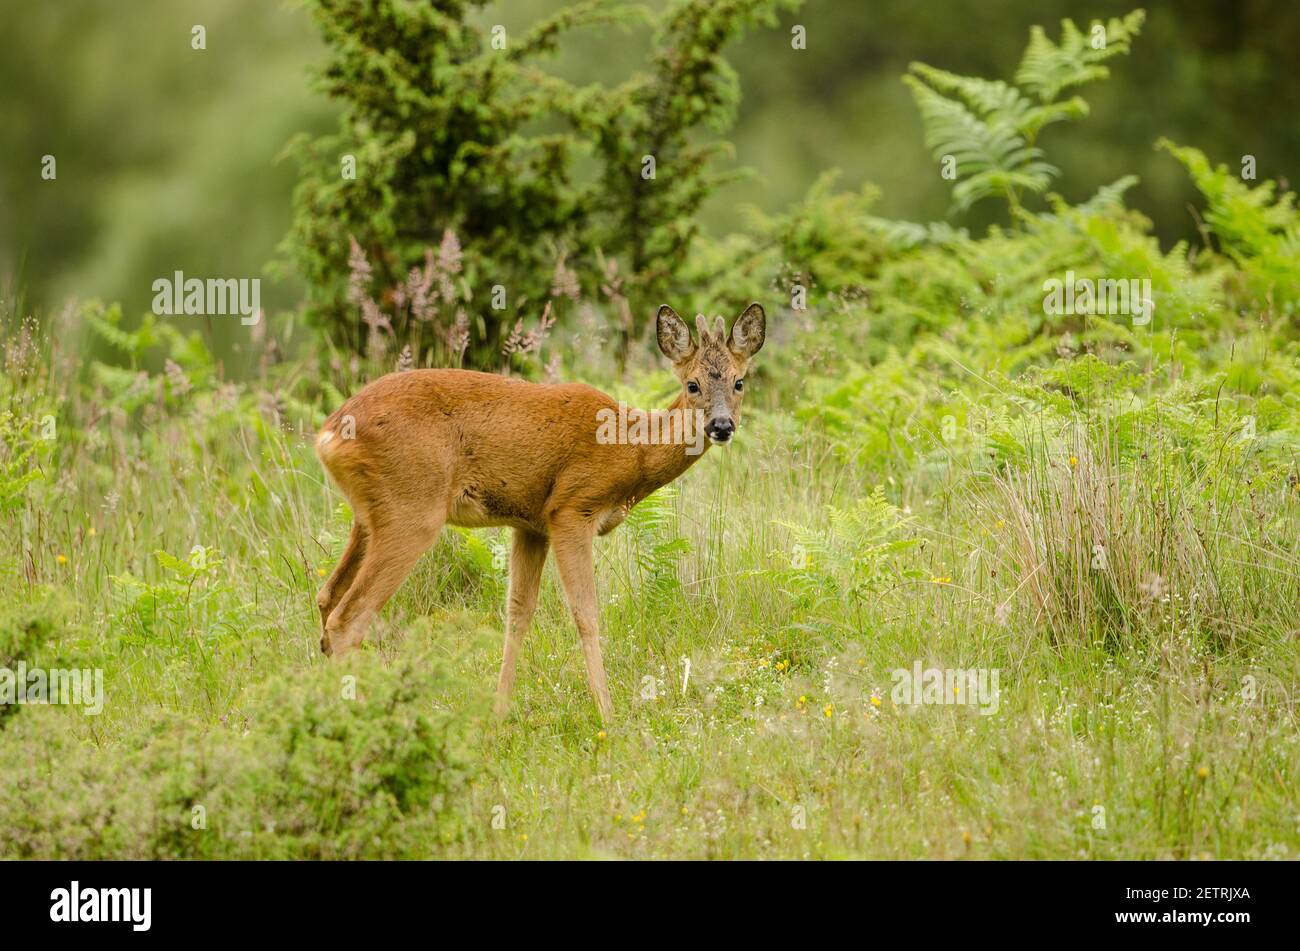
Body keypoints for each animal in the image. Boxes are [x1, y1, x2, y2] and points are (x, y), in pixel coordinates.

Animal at [313, 302, 766, 722]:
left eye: (739, 381)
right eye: (692, 385)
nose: (721, 426)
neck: (630, 449)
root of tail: (329, 433)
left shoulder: (530, 524)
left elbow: (518, 613)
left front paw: (499, 711)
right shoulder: (571, 508)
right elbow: (586, 614)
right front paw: (608, 715)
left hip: (369, 514)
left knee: (326, 595)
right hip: (412, 509)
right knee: (348, 618)